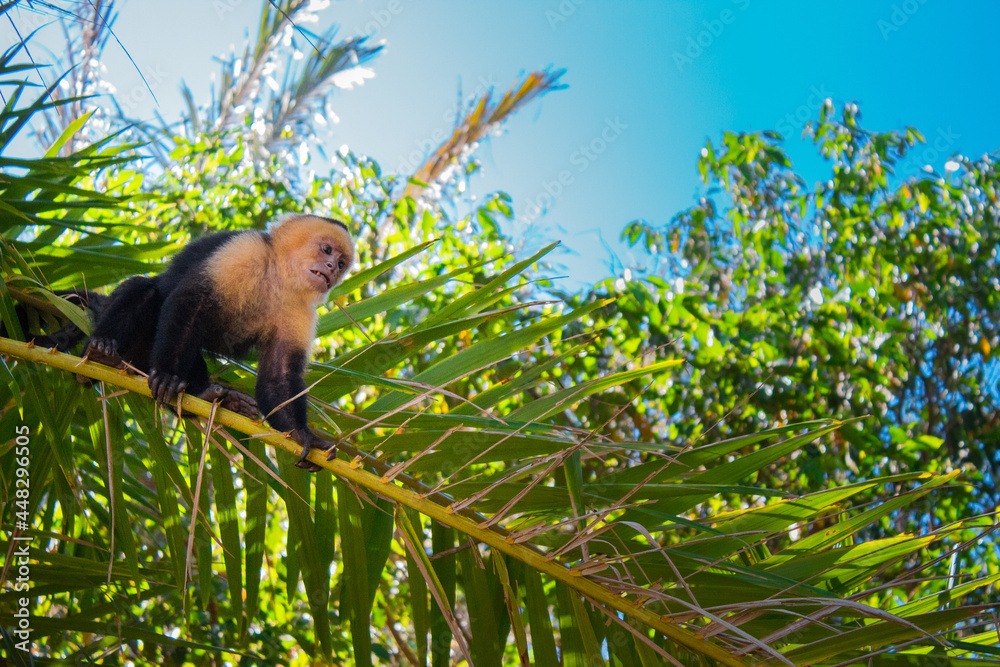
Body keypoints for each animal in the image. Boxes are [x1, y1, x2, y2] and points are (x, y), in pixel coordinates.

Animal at [83, 213, 354, 472]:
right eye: (327, 250)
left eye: (341, 263)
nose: (331, 269)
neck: (279, 279)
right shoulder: (244, 250)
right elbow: (191, 300)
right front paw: (168, 375)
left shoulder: (300, 308)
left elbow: (279, 373)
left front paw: (300, 434)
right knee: (146, 290)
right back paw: (101, 352)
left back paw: (208, 397)